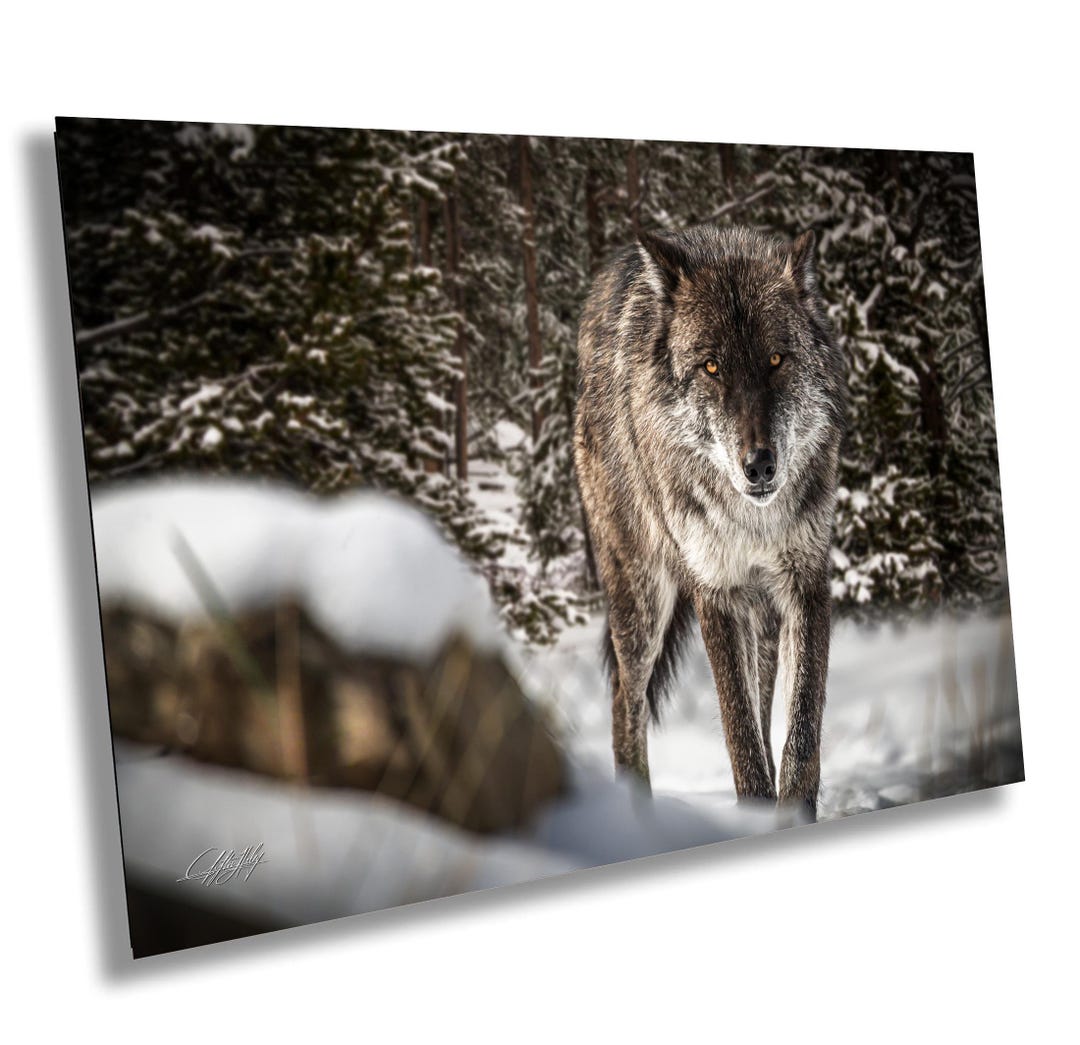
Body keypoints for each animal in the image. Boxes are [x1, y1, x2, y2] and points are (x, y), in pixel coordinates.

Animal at [574, 224, 846, 817]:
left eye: (776, 360)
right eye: (712, 367)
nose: (760, 465)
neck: (753, 521)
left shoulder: (806, 580)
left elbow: (799, 736)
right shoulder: (715, 592)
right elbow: (740, 736)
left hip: (762, 620)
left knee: (765, 709)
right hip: (643, 602)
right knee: (625, 702)